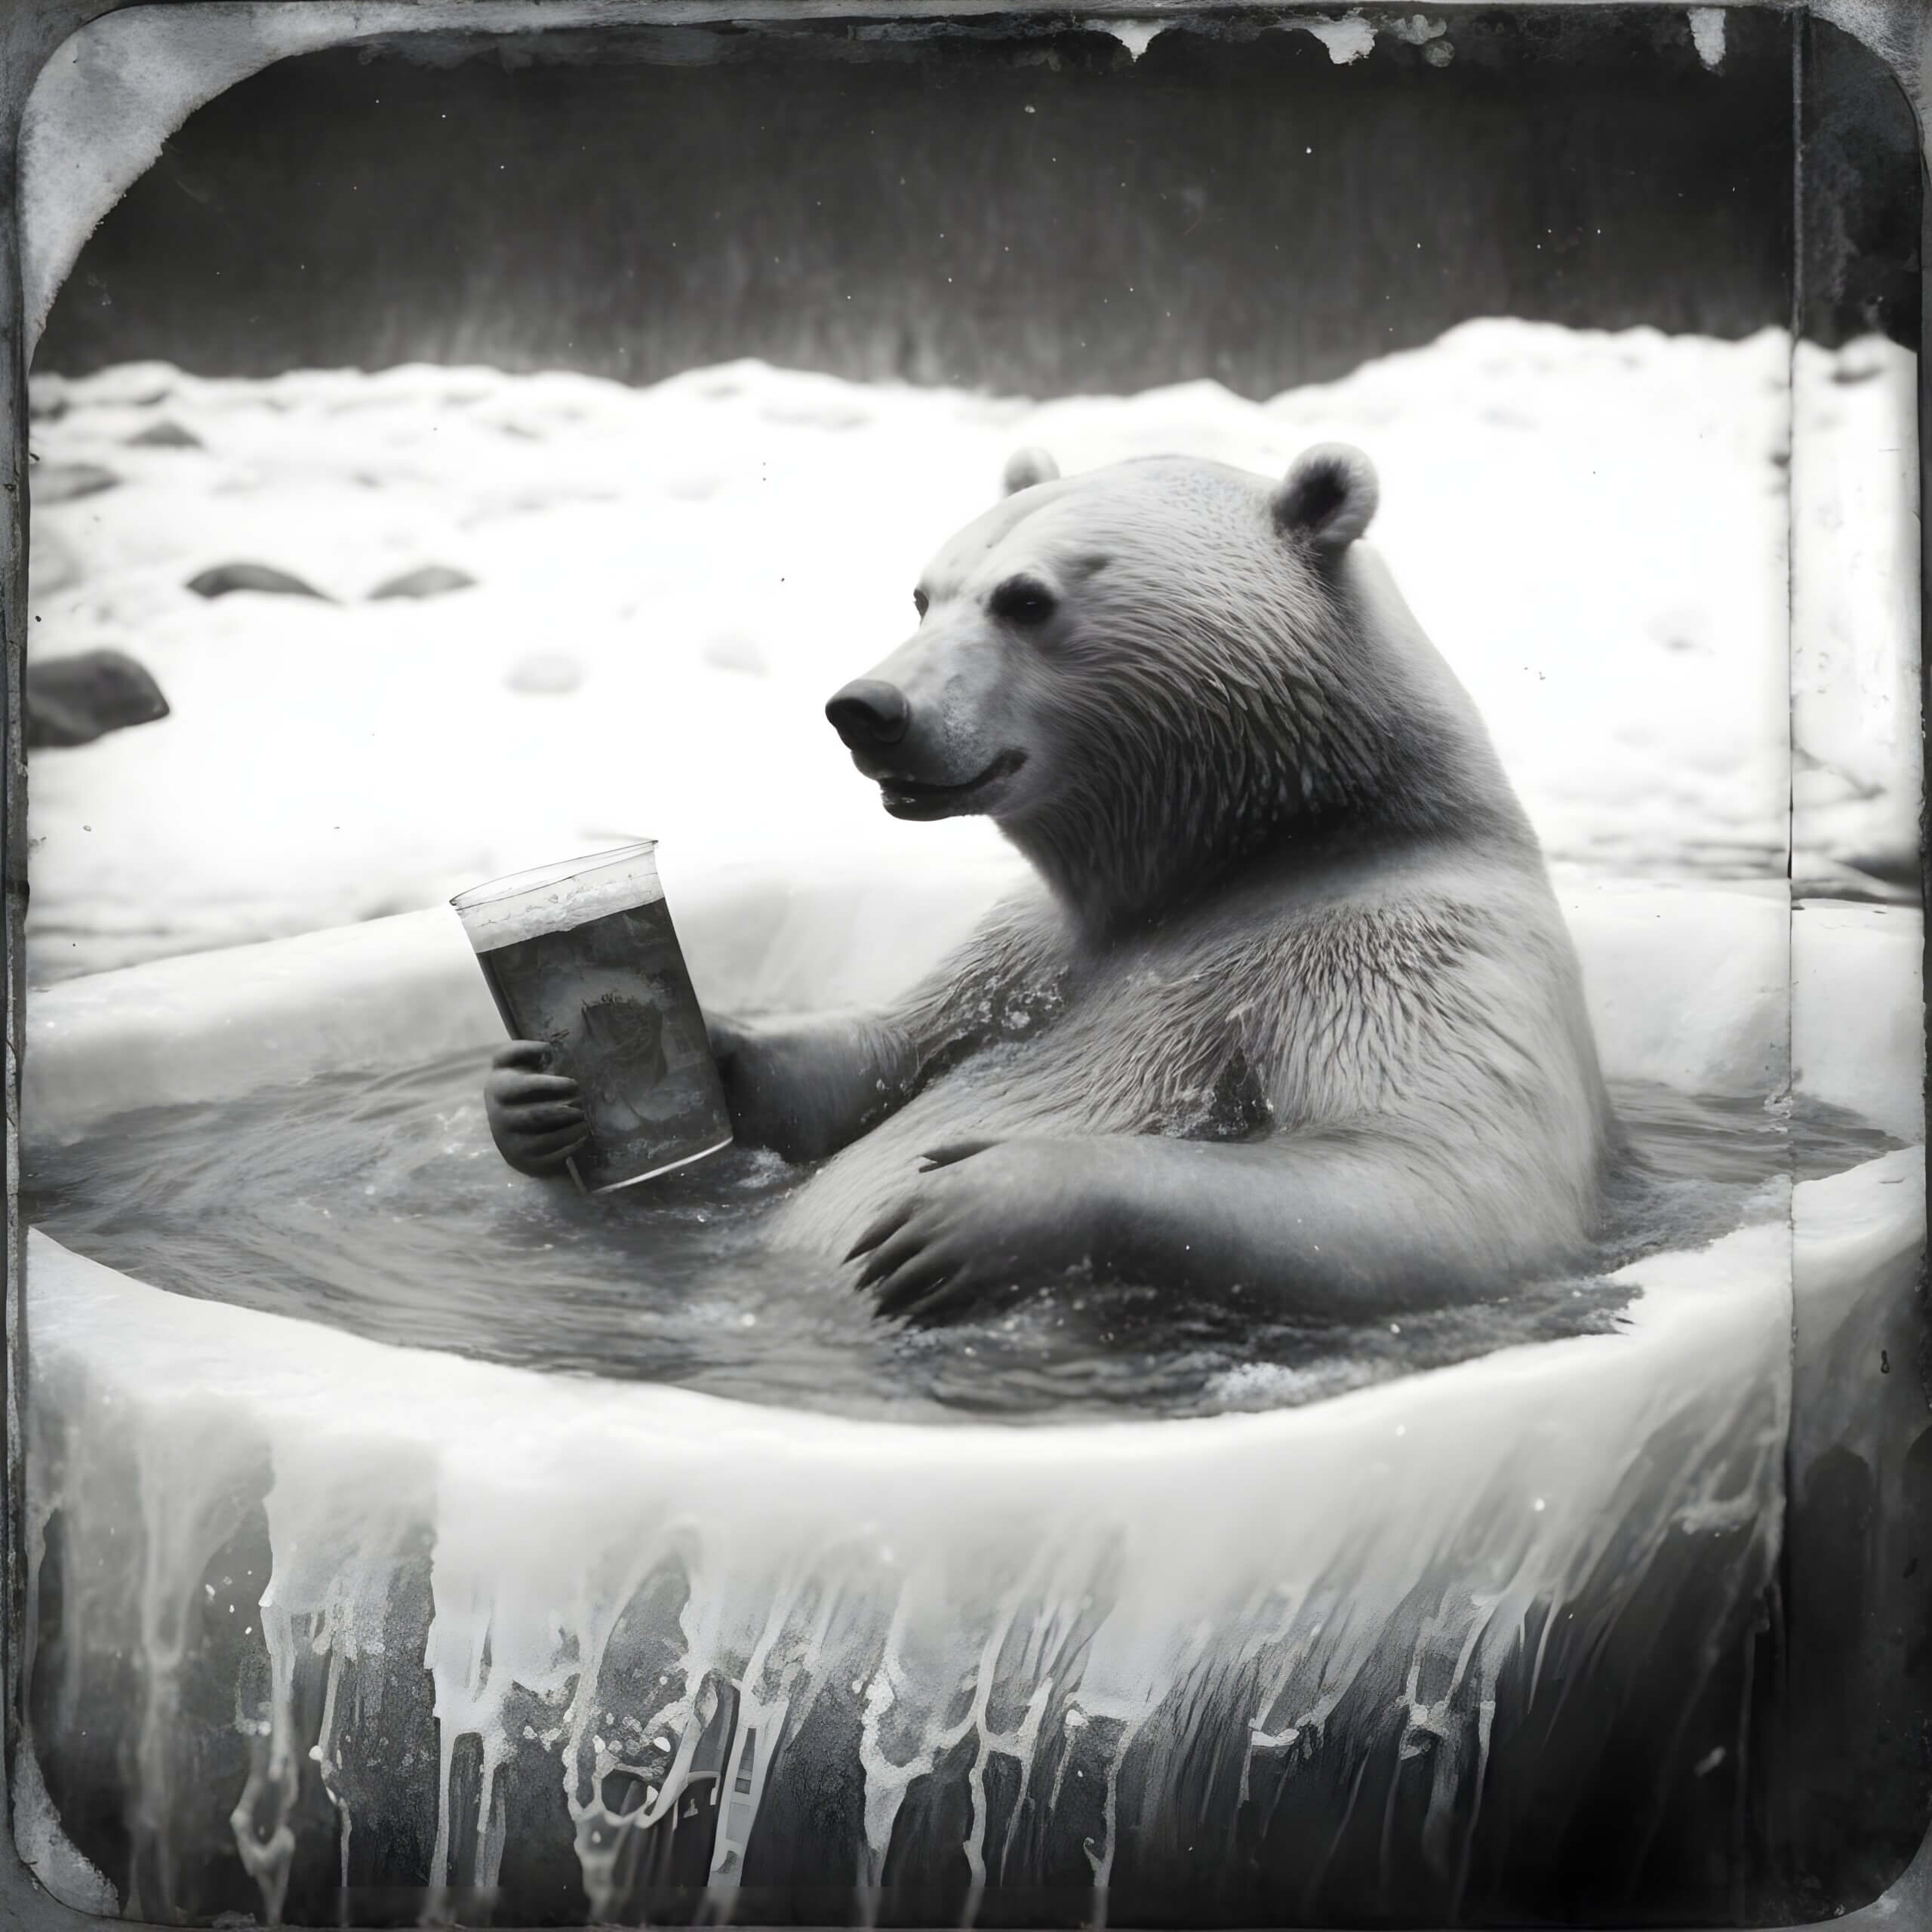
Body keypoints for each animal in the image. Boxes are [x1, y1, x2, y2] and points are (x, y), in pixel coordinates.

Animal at [488, 443, 1613, 1326]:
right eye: (924, 591)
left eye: (1025, 599)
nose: (868, 709)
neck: (1252, 848)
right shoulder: (1024, 947)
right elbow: (872, 1064)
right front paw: (560, 1087)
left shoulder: (1394, 940)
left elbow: (1435, 1188)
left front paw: (984, 1204)